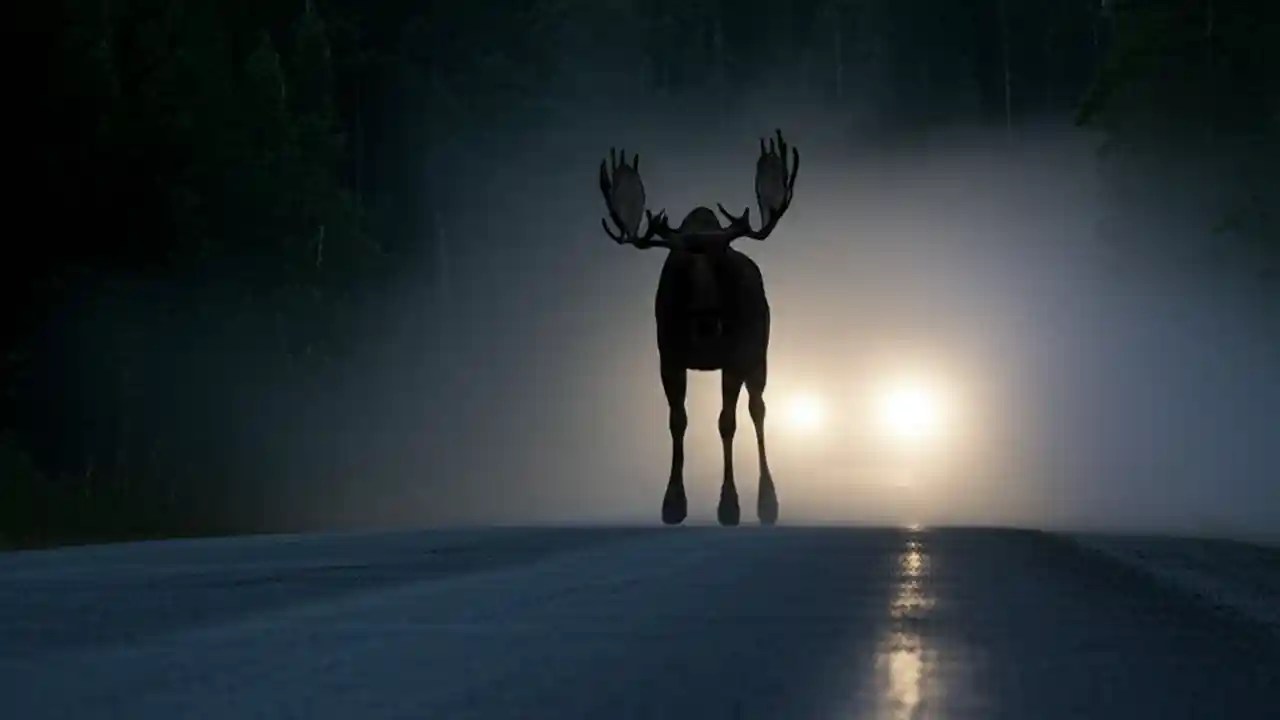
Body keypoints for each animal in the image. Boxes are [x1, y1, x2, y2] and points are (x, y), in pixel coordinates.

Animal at [598, 129, 800, 526]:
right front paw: (673, 503)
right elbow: (677, 421)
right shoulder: (669, 357)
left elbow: (727, 422)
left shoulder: (735, 356)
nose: (708, 320)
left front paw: (730, 506)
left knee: (758, 409)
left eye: (724, 259)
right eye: (680, 264)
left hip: (759, 354)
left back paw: (768, 504)